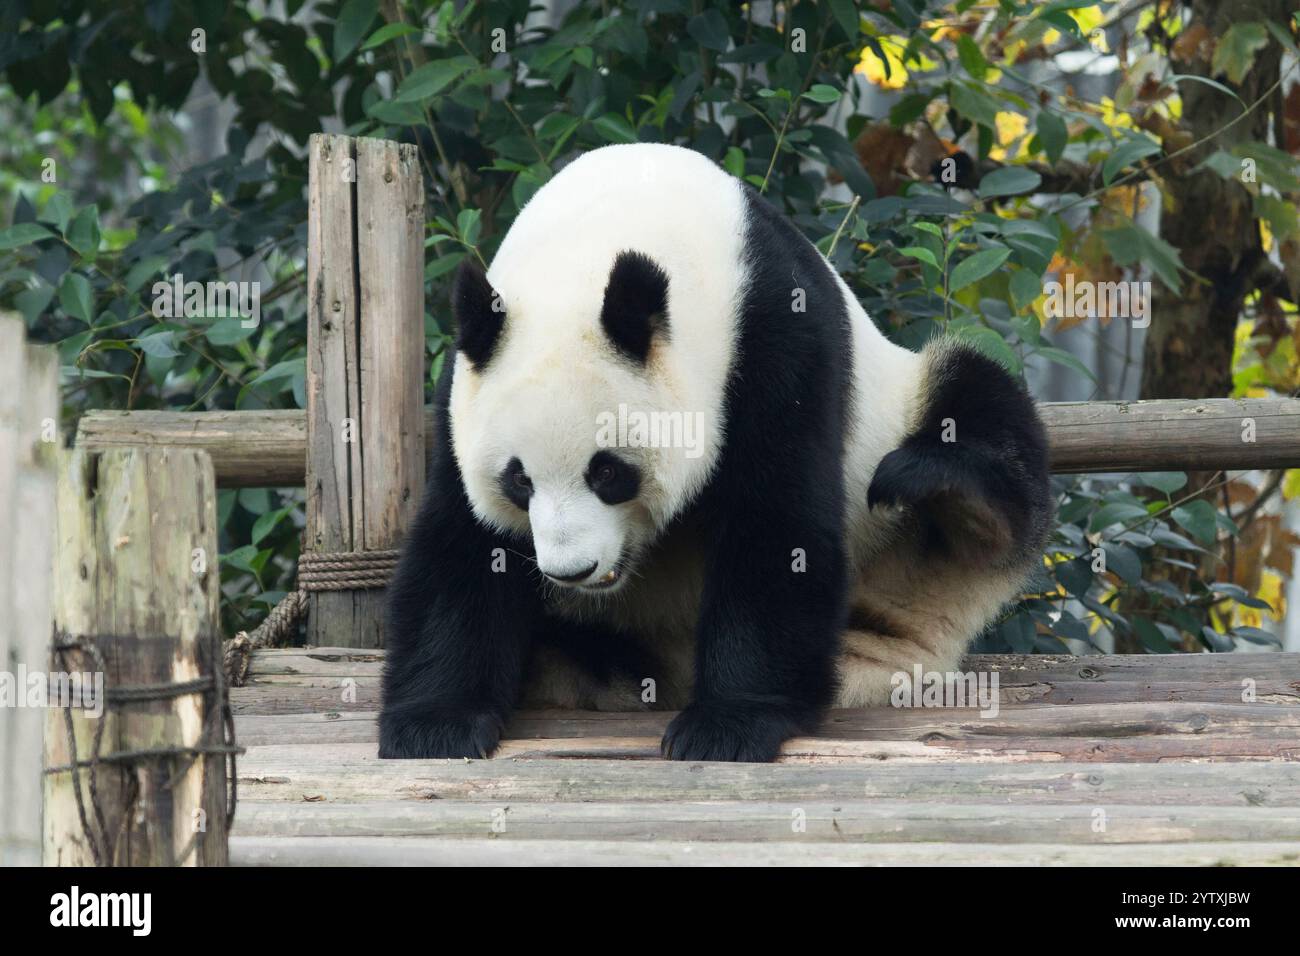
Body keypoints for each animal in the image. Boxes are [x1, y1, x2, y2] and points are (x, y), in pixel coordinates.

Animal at [379, 142, 1052, 763]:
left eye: (608, 472)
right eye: (519, 482)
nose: (572, 571)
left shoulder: (775, 338)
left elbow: (777, 523)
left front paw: (728, 726)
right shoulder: (461, 393)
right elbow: (462, 542)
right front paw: (435, 724)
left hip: (904, 450)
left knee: (980, 417)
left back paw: (950, 494)